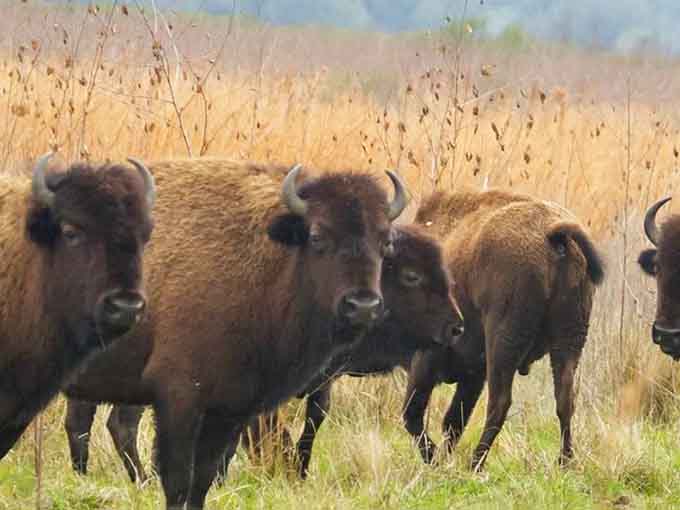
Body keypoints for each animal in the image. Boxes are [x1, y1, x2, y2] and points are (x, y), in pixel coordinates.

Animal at [61, 159, 407, 509]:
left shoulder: (230, 409)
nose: (362, 306)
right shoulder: (179, 399)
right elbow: (178, 479)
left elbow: (203, 478)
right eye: (318, 236)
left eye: (385, 242)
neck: (274, 258)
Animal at [64, 223, 465, 480]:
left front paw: (298, 470)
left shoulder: (320, 380)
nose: (456, 327)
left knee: (89, 422)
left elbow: (314, 419)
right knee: (116, 424)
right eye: (411, 275)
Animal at [403, 189, 604, 470]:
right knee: (565, 399)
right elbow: (452, 421)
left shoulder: (429, 360)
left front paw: (434, 460)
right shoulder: (473, 374)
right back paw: (564, 462)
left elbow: (414, 414)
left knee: (499, 403)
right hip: (569, 339)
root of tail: (553, 232)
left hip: (503, 341)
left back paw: (475, 463)